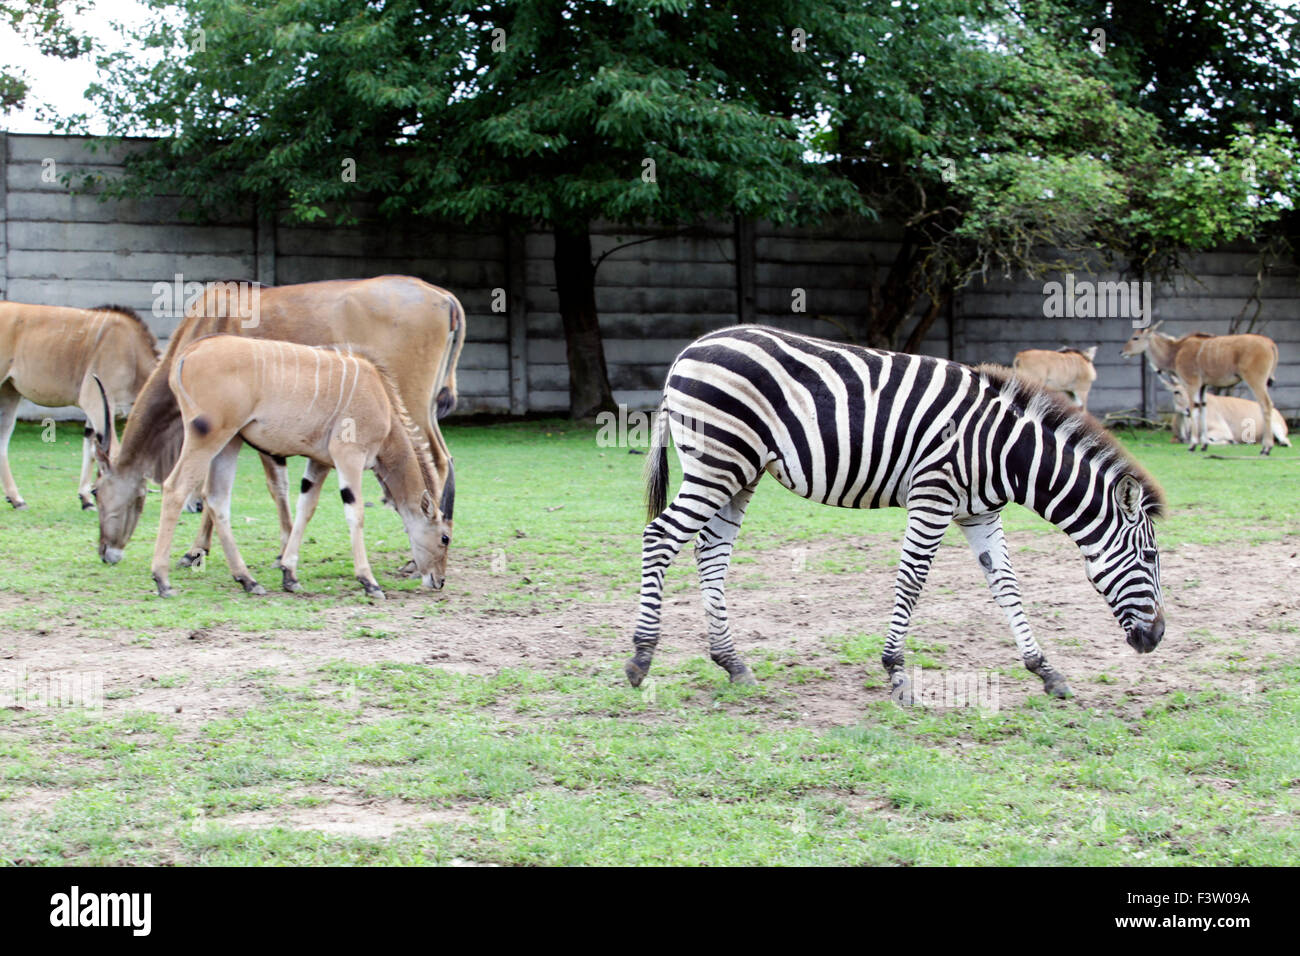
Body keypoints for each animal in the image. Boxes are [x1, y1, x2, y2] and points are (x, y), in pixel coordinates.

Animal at [0, 302, 158, 510]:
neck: (132, 350)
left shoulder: (97, 410)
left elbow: (90, 446)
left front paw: (86, 499)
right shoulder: (96, 400)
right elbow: (113, 449)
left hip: (9, 390)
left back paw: (17, 499)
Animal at [92, 276, 465, 568]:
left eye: (96, 491)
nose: (105, 551)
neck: (211, 318)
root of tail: (444, 298)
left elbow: (269, 486)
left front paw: (198, 550)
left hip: (410, 404)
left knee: (434, 460)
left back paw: (414, 557)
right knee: (442, 456)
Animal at [148, 335, 450, 599]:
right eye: (445, 538)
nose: (438, 581)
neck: (381, 397)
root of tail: (189, 352)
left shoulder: (320, 462)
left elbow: (306, 507)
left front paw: (289, 575)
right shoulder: (348, 455)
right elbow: (355, 513)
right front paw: (369, 582)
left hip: (230, 442)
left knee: (217, 499)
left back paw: (247, 580)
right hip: (208, 437)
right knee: (175, 488)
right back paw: (163, 580)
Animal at [627, 325, 1167, 702]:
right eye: (1149, 556)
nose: (1157, 638)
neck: (1004, 451)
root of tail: (690, 349)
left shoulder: (980, 514)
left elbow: (1007, 586)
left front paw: (1047, 671)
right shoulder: (933, 495)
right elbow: (912, 581)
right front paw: (897, 672)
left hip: (741, 473)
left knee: (710, 553)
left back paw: (732, 663)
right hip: (718, 462)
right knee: (660, 536)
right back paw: (641, 658)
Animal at [1163, 377, 1291, 447]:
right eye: (1176, 391)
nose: (1189, 409)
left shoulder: (1223, 430)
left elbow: (1204, 439)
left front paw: (1230, 441)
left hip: (1276, 427)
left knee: (1286, 440)